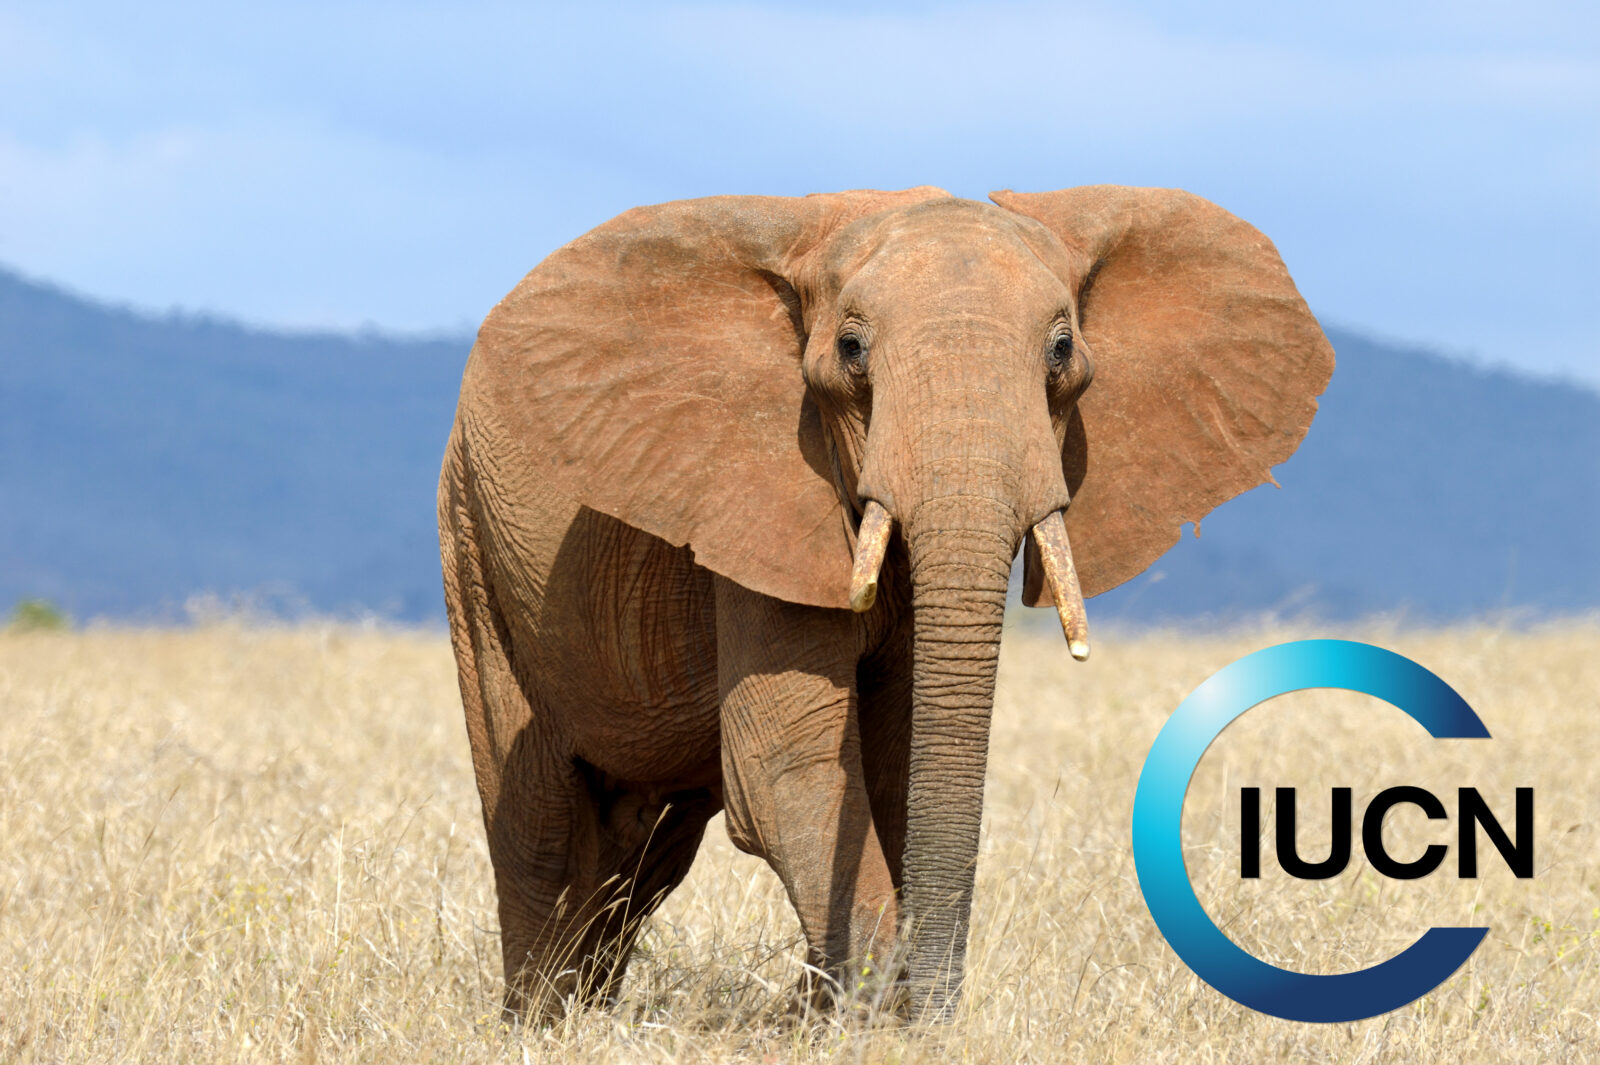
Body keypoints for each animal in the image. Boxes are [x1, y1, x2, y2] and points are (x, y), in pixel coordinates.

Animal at [436, 185, 1334, 1023]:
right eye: (851, 350)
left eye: (1062, 351)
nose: (941, 1008)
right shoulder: (759, 498)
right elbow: (786, 763)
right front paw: (878, 1026)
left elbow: (897, 763)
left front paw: (844, 1018)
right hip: (473, 536)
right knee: (538, 820)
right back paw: (539, 1022)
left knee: (644, 844)